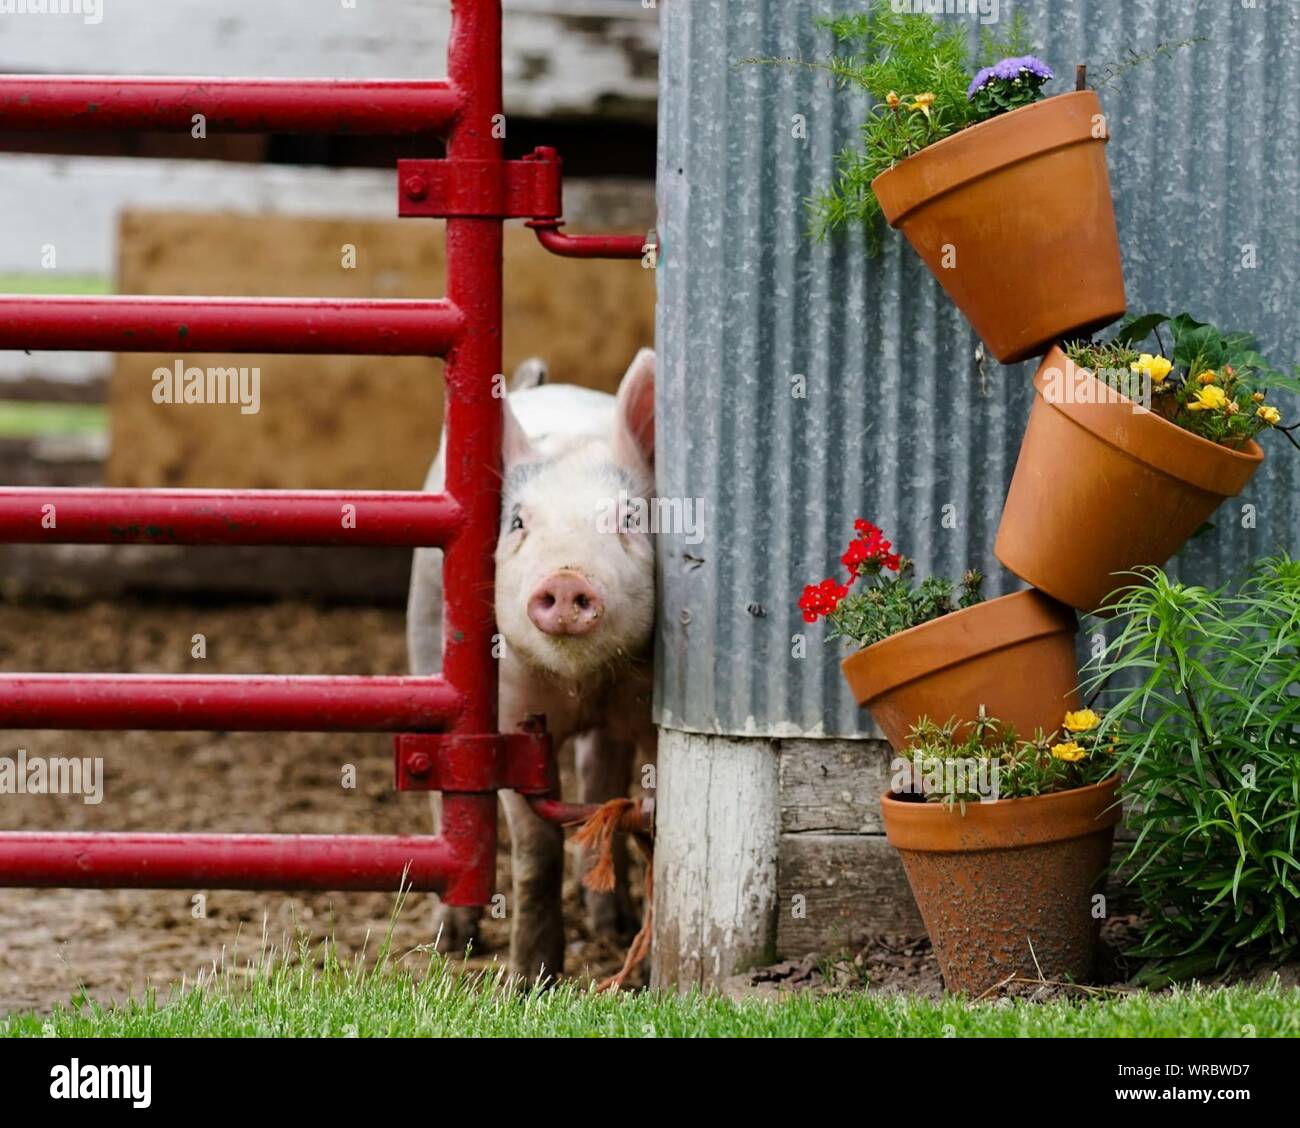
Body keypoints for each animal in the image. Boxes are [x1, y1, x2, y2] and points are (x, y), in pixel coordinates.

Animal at [407, 348, 656, 981]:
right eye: (518, 522)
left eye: (628, 520)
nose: (566, 578)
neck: (581, 684)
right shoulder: (511, 708)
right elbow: (536, 850)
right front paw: (528, 981)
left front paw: (644, 975)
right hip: (425, 626)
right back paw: (452, 941)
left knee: (599, 775)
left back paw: (613, 925)